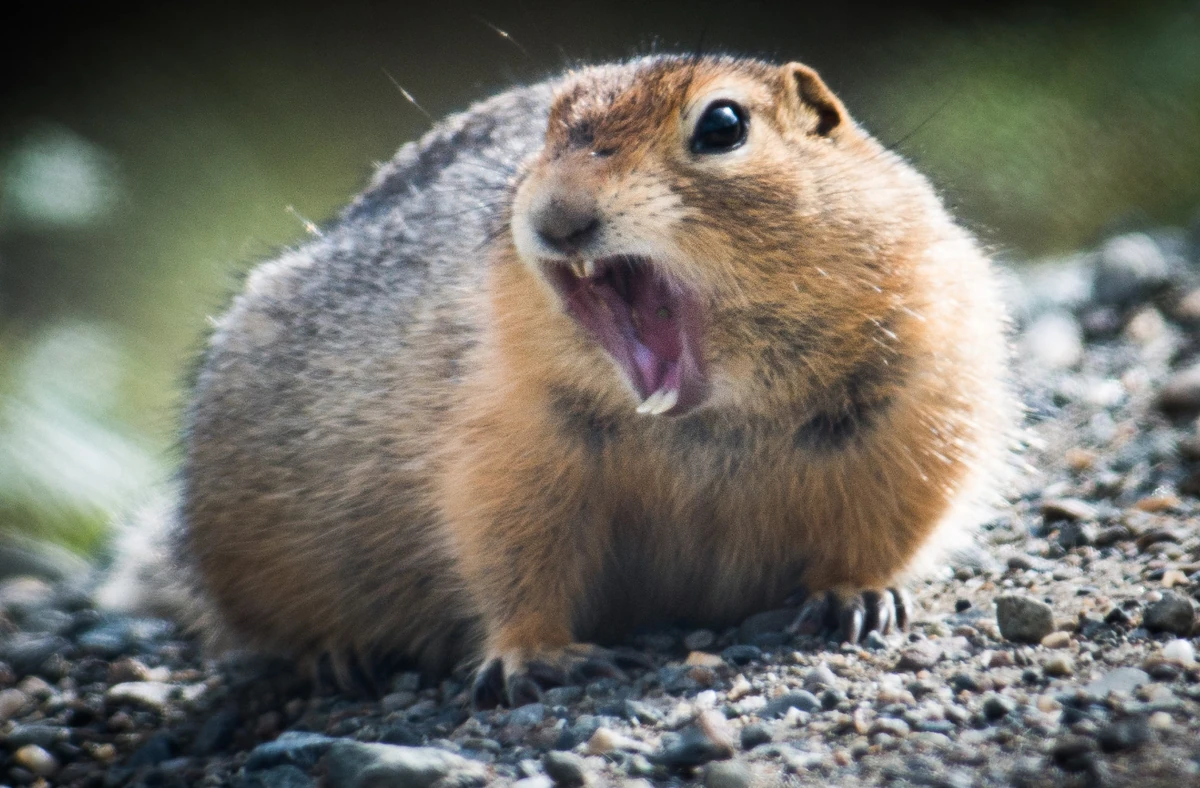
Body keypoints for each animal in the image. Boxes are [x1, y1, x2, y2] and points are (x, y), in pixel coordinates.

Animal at [107, 55, 1014, 707]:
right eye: (546, 132)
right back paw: (338, 654)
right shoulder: (510, 436)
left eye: (724, 124)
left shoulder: (914, 399)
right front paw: (534, 657)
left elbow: (886, 522)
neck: (703, 417)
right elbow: (511, 552)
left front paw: (857, 598)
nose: (556, 216)